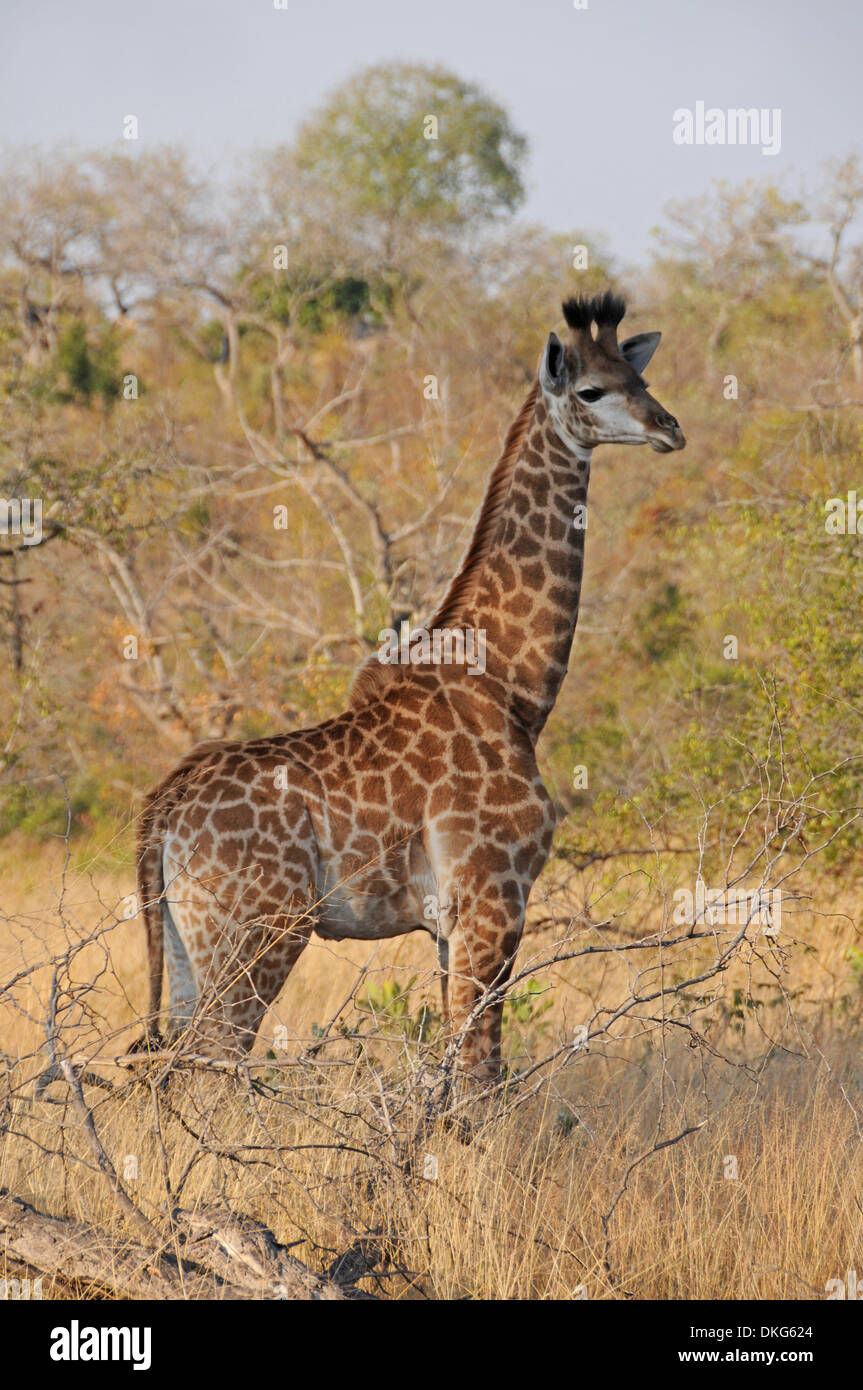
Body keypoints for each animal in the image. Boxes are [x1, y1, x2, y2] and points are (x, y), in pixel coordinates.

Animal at [135, 291, 685, 1078]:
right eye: (591, 390)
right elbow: (479, 1071)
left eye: (637, 377)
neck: (513, 689)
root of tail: (164, 809)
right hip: (259, 932)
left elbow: (456, 1067)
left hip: (187, 941)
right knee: (213, 1060)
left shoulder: (449, 923)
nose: (668, 427)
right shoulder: (493, 894)